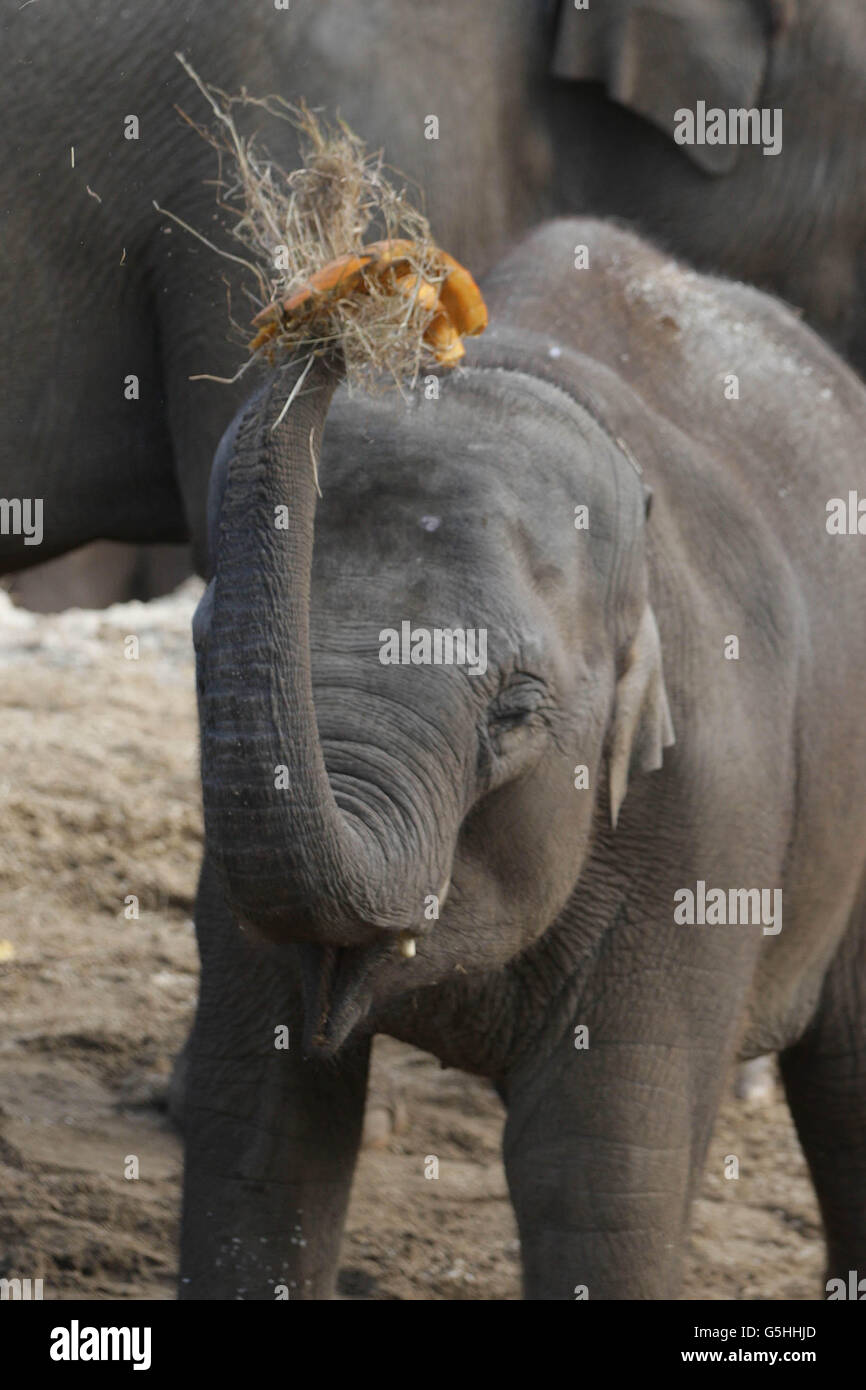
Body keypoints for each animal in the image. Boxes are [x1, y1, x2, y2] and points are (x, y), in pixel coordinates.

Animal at [184, 216, 866, 1300]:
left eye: (512, 711)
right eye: (203, 650)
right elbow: (254, 1129)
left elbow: (597, 1169)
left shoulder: (711, 803)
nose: (340, 297)